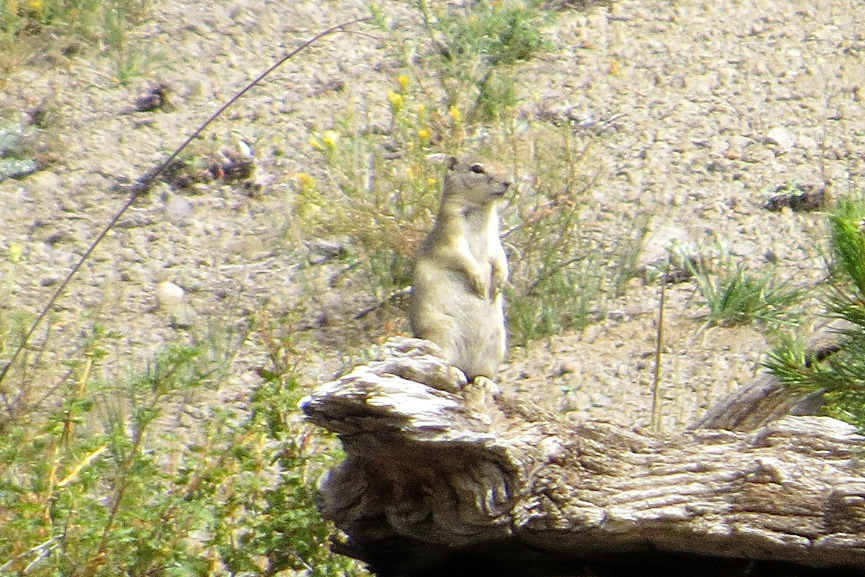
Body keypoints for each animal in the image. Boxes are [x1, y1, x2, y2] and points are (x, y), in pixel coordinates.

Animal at [409, 156, 510, 381]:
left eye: (501, 164)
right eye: (477, 169)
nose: (509, 181)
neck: (482, 210)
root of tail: (467, 366)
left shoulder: (495, 240)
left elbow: (500, 258)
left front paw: (499, 284)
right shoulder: (451, 233)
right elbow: (462, 257)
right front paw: (480, 283)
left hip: (496, 345)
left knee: (481, 374)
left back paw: (484, 382)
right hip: (441, 334)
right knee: (442, 363)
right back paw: (454, 372)